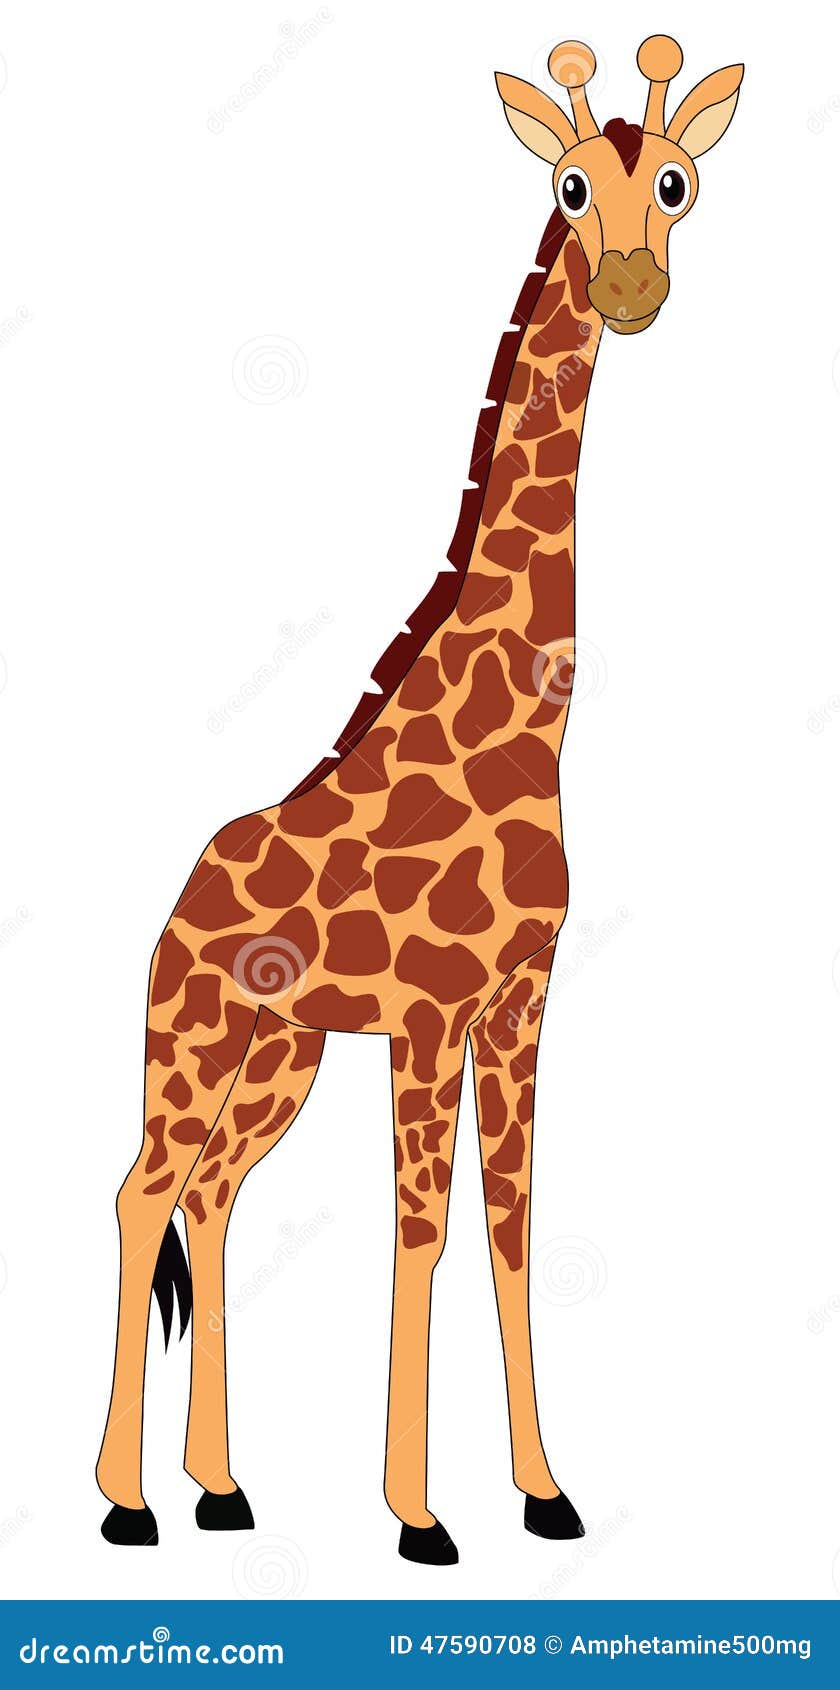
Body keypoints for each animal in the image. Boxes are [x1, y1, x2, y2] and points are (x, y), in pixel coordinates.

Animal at [97, 36, 743, 1563]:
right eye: (569, 187)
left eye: (675, 184)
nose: (632, 291)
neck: (526, 732)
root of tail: (181, 896)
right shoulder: (432, 1013)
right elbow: (424, 1235)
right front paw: (418, 1514)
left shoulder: (518, 1003)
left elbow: (512, 1231)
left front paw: (547, 1493)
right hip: (192, 1036)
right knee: (142, 1191)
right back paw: (128, 1504)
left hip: (279, 1057)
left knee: (213, 1197)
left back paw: (222, 1490)